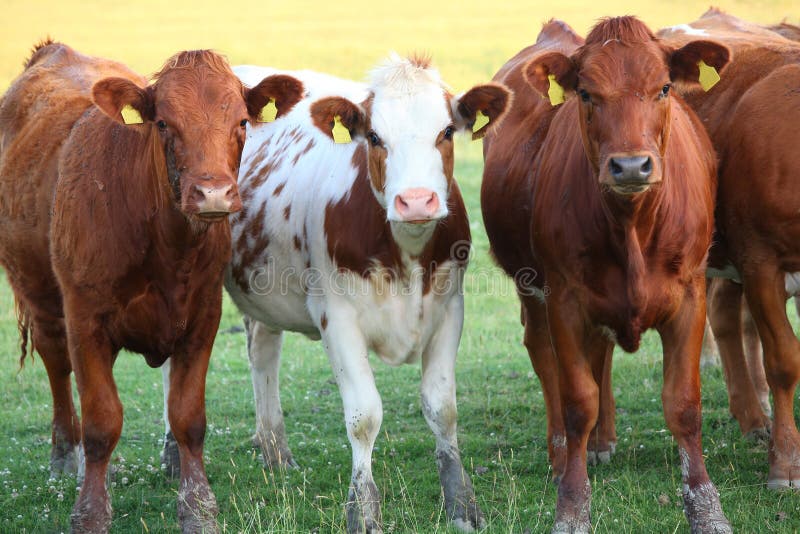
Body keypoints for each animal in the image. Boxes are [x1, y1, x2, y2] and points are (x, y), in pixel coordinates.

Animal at [0, 41, 303, 533]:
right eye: (163, 123)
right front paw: (90, 512)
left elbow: (188, 417)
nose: (213, 194)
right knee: (57, 370)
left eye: (242, 122)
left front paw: (198, 507)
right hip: (39, 296)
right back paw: (66, 457)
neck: (165, 244)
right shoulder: (85, 320)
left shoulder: (202, 317)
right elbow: (102, 421)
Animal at [220, 54, 510, 533]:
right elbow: (364, 417)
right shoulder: (337, 319)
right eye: (374, 137)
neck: (405, 252)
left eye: (447, 131)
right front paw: (364, 509)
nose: (416, 201)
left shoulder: (450, 308)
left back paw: (276, 451)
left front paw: (462, 503)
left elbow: (442, 408)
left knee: (262, 351)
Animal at [482, 17, 731, 532]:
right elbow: (578, 399)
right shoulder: (564, 300)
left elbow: (684, 404)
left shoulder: (690, 297)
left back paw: (602, 441)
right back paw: (563, 456)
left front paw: (706, 507)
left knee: (603, 355)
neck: (631, 226)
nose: (631, 165)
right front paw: (572, 507)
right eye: (585, 93)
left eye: (664, 88)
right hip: (531, 288)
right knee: (544, 357)